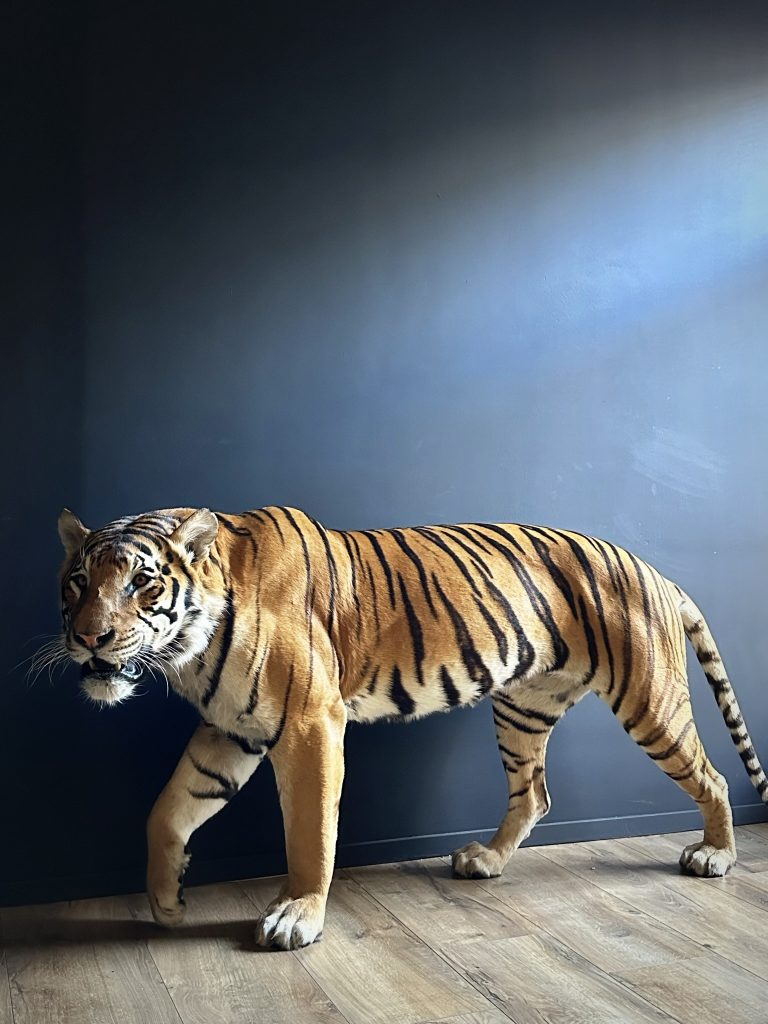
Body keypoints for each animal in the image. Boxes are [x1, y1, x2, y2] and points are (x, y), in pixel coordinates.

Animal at [57, 504, 767, 950]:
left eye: (143, 584)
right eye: (77, 582)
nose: (89, 638)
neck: (191, 651)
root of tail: (656, 570)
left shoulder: (311, 723)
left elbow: (310, 833)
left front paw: (298, 915)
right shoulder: (231, 730)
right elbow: (166, 812)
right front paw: (167, 902)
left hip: (651, 701)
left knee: (711, 777)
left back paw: (716, 855)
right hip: (522, 710)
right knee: (534, 795)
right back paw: (485, 861)